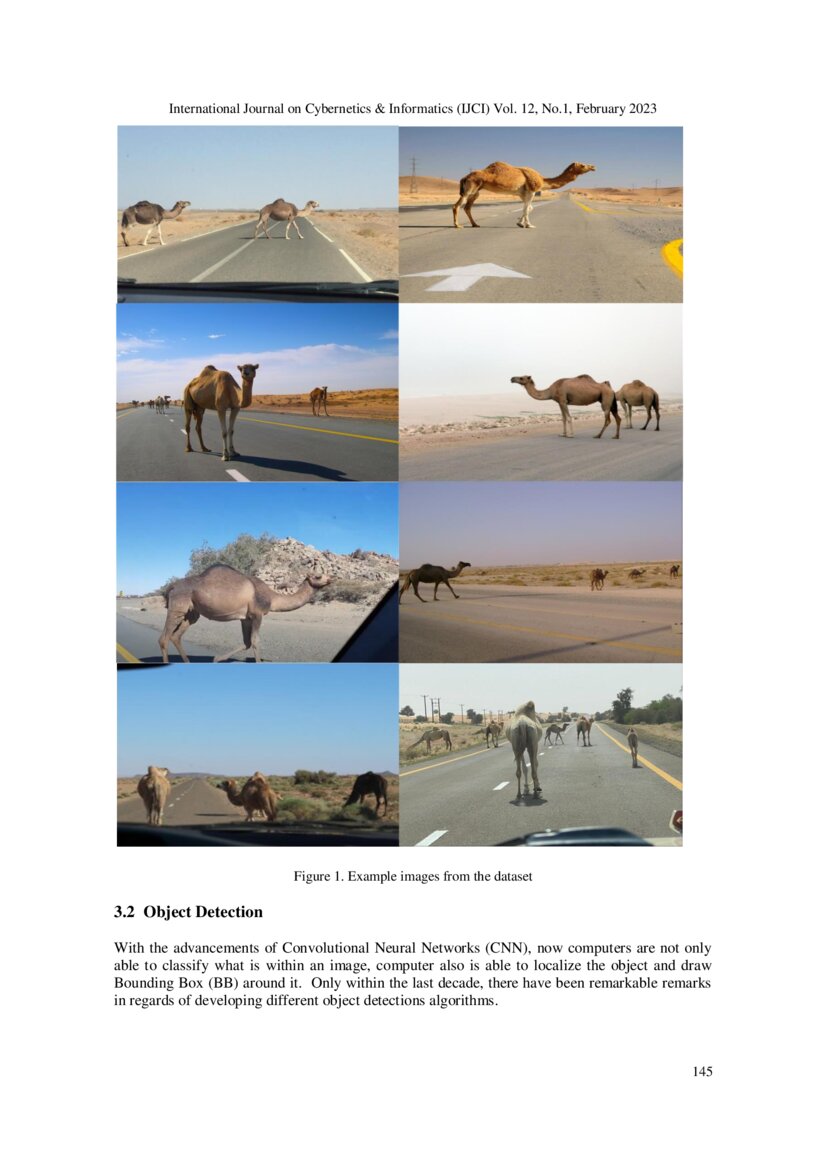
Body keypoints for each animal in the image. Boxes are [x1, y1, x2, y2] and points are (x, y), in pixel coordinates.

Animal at [159, 563, 330, 664]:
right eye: (318, 576)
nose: (331, 579)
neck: (272, 597)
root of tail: (171, 587)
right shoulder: (257, 614)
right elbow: (255, 641)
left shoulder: (245, 618)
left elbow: (247, 642)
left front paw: (217, 658)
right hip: (177, 607)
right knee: (164, 638)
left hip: (192, 613)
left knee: (176, 636)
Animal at [452, 161, 595, 229]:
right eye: (583, 165)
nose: (593, 166)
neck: (542, 180)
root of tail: (464, 177)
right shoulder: (532, 190)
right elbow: (527, 208)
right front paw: (529, 225)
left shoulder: (523, 193)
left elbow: (528, 208)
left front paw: (520, 223)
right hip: (470, 187)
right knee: (457, 205)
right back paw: (458, 225)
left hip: (476, 190)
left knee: (467, 207)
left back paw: (475, 224)